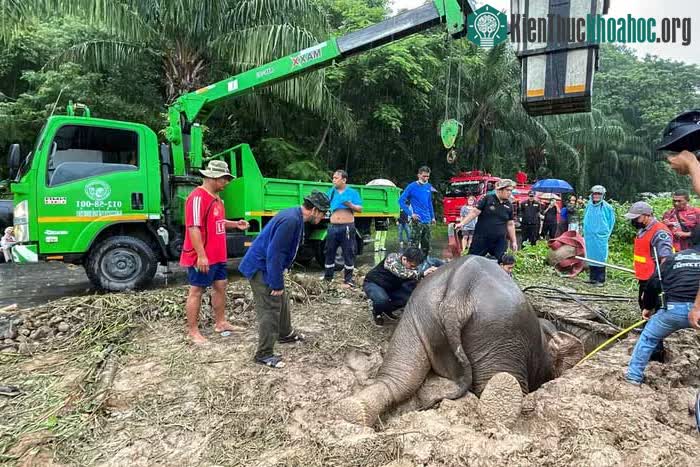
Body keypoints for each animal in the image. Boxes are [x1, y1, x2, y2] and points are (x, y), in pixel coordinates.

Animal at [340, 256, 584, 428]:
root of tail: (458, 294)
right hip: (499, 331)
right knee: (500, 380)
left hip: (417, 315)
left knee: (400, 376)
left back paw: (352, 411)